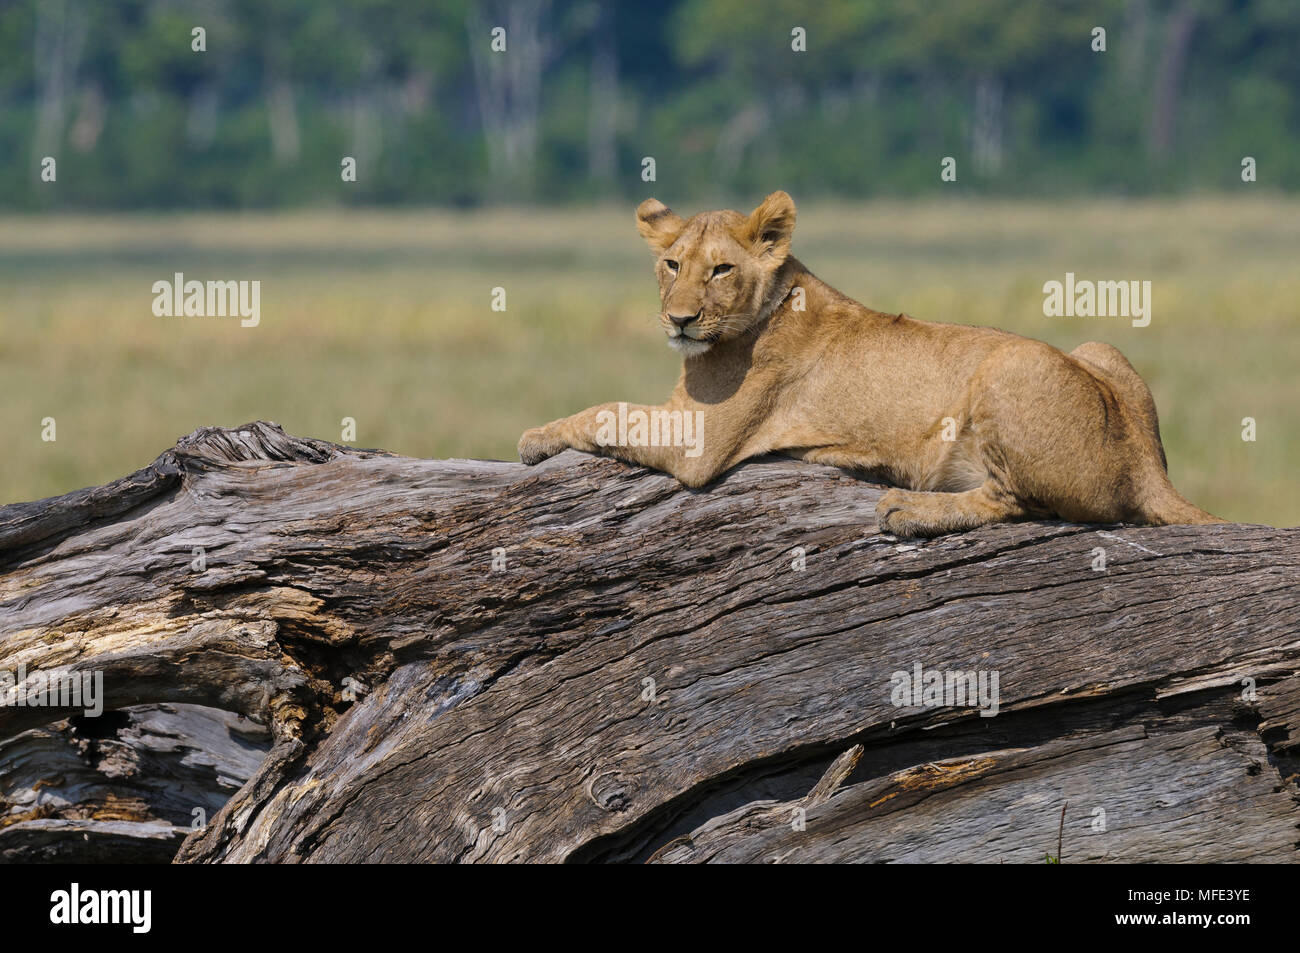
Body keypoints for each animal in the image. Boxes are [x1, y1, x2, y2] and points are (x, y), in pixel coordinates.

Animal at [517, 191, 1224, 538]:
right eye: (671, 264)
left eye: (720, 270)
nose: (680, 319)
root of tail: (1148, 466)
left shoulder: (700, 442)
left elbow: (606, 411)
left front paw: (533, 438)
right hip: (1099, 349)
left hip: (1010, 366)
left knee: (1021, 501)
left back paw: (908, 510)